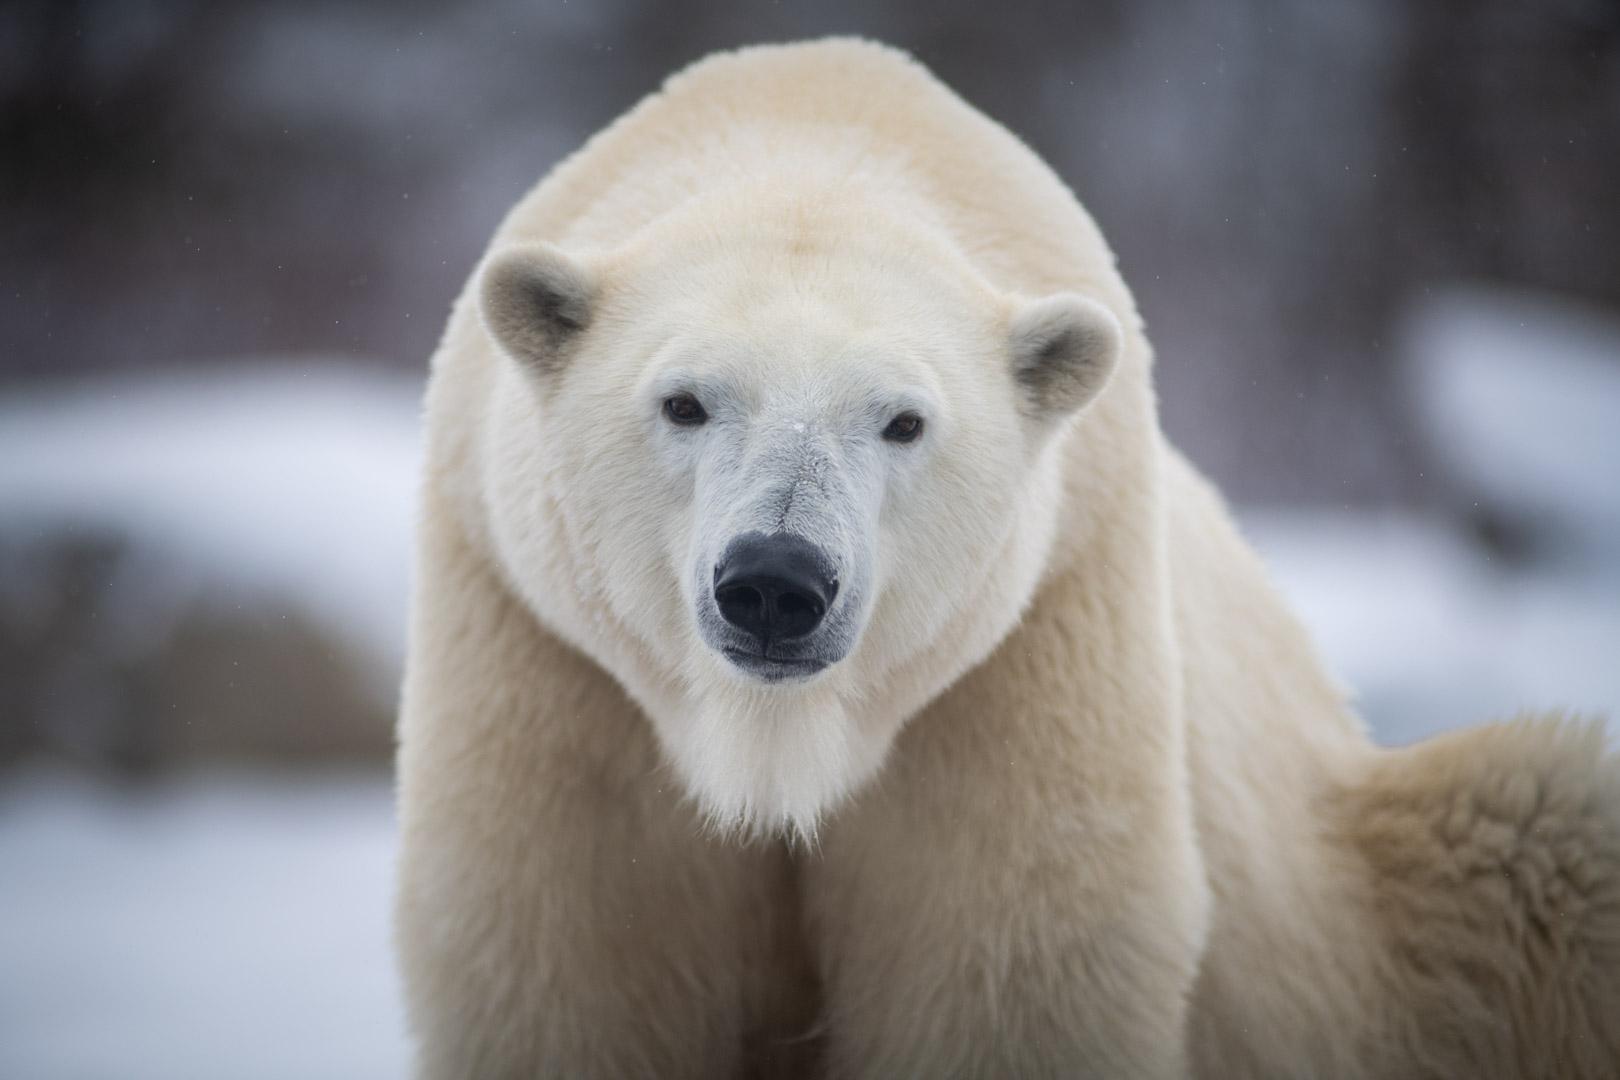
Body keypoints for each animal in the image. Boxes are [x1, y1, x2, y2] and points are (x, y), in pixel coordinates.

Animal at [394, 37, 1620, 1079]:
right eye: (685, 401)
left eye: (902, 421)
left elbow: (1012, 956)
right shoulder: (551, 662)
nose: (776, 584)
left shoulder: (1025, 650)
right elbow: (576, 959)